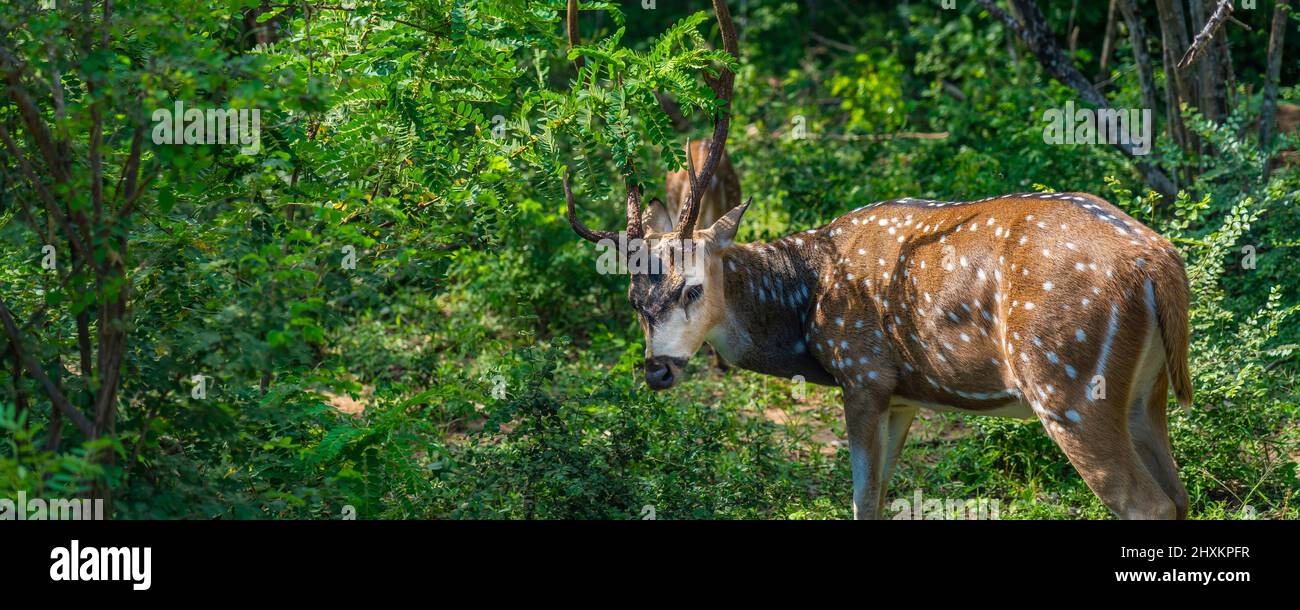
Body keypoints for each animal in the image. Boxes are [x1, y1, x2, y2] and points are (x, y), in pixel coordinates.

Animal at [562, 0, 1193, 520]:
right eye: (633, 299)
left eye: (692, 286)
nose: (657, 370)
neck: (806, 306)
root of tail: (1158, 264)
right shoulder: (903, 393)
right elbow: (883, 497)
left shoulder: (862, 372)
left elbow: (863, 502)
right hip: (1148, 391)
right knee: (1179, 495)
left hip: (1068, 382)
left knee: (1147, 504)